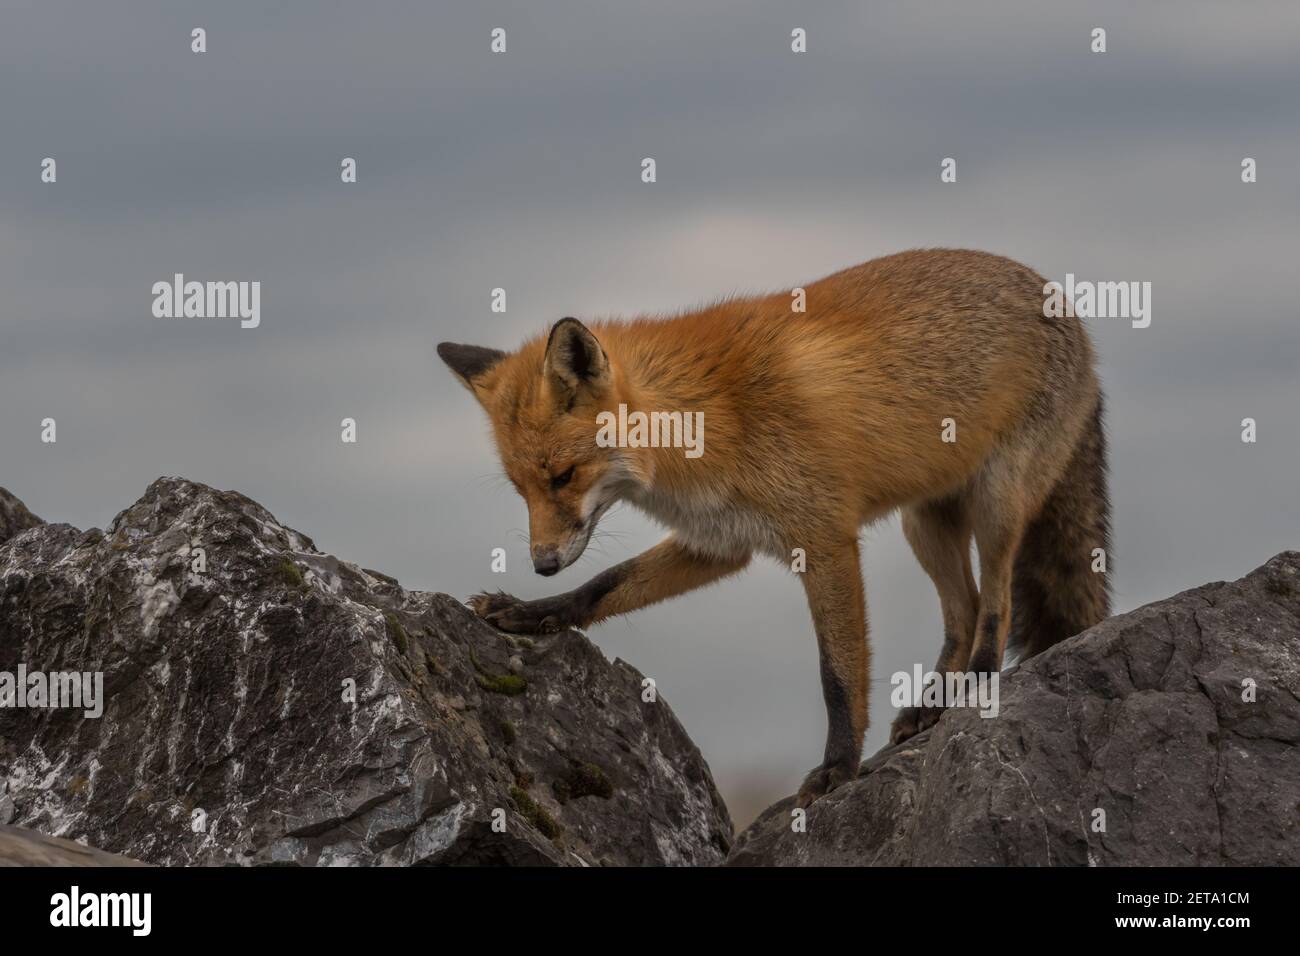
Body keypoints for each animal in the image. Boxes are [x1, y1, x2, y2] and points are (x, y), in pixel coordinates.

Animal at [438, 248, 1111, 805]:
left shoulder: (825, 538)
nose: (542, 563)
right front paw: (532, 611)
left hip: (998, 503)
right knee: (962, 610)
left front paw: (838, 768)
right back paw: (931, 709)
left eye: (563, 476)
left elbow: (838, 676)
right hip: (924, 524)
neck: (701, 418)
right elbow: (602, 586)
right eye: (522, 489)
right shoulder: (719, 541)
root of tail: (1061, 301)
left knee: (994, 605)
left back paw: (976, 684)